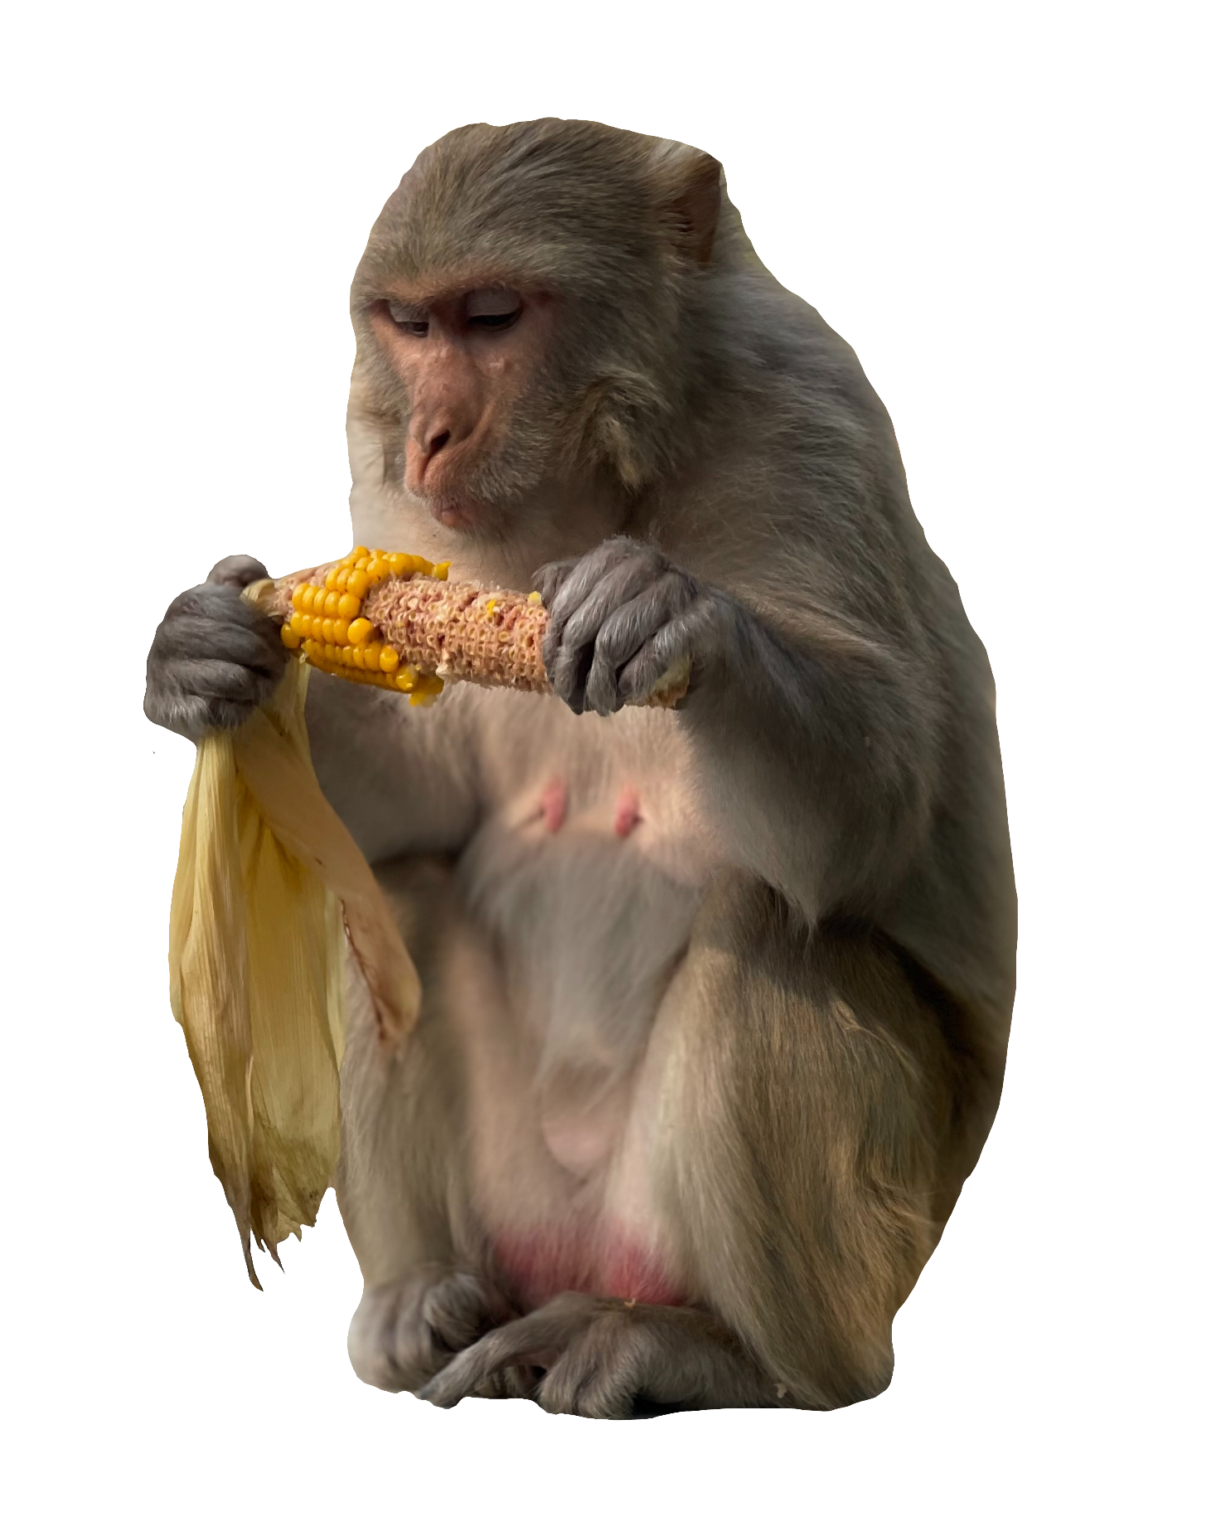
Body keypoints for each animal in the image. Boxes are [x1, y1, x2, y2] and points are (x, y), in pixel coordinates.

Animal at [144, 119, 1016, 1418]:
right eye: (410, 324)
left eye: (492, 316)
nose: (429, 433)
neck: (607, 478)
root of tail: (578, 1266)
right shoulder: (393, 497)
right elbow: (418, 804)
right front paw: (209, 655)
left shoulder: (810, 416)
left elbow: (873, 816)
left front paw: (681, 620)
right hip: (522, 1208)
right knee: (394, 901)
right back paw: (418, 1307)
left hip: (862, 1235)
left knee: (762, 929)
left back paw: (734, 1359)